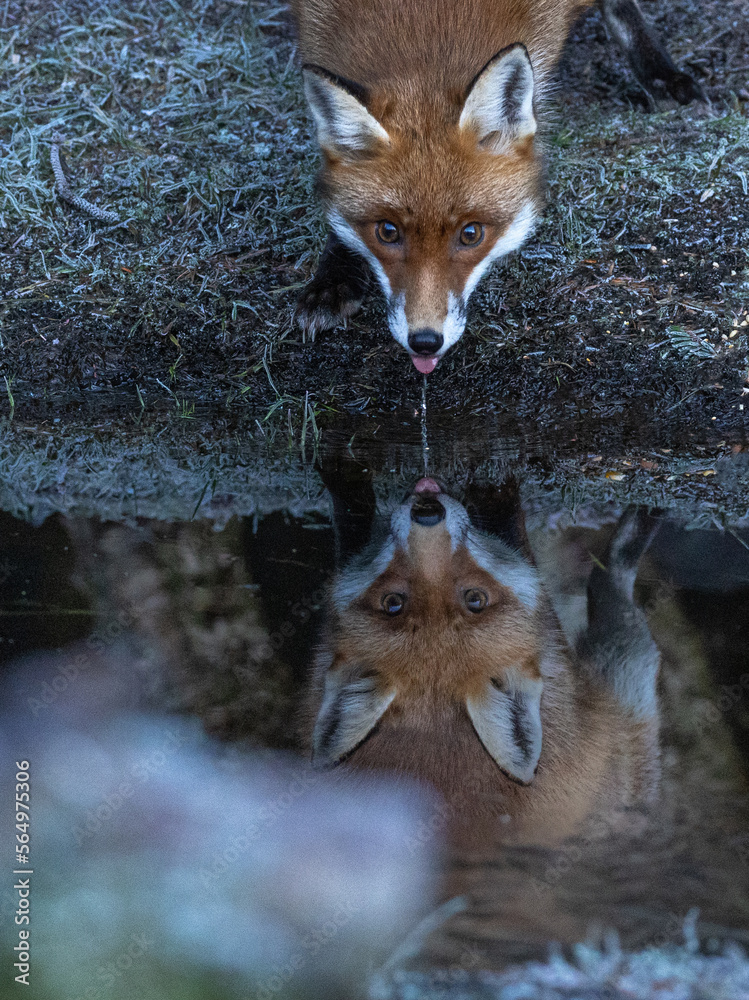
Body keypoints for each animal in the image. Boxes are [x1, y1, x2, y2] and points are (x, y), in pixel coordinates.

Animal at [307, 466, 661, 847]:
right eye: (393, 602)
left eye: (475, 599)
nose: (428, 515)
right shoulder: (557, 634)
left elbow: (350, 528)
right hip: (625, 665)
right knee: (611, 584)